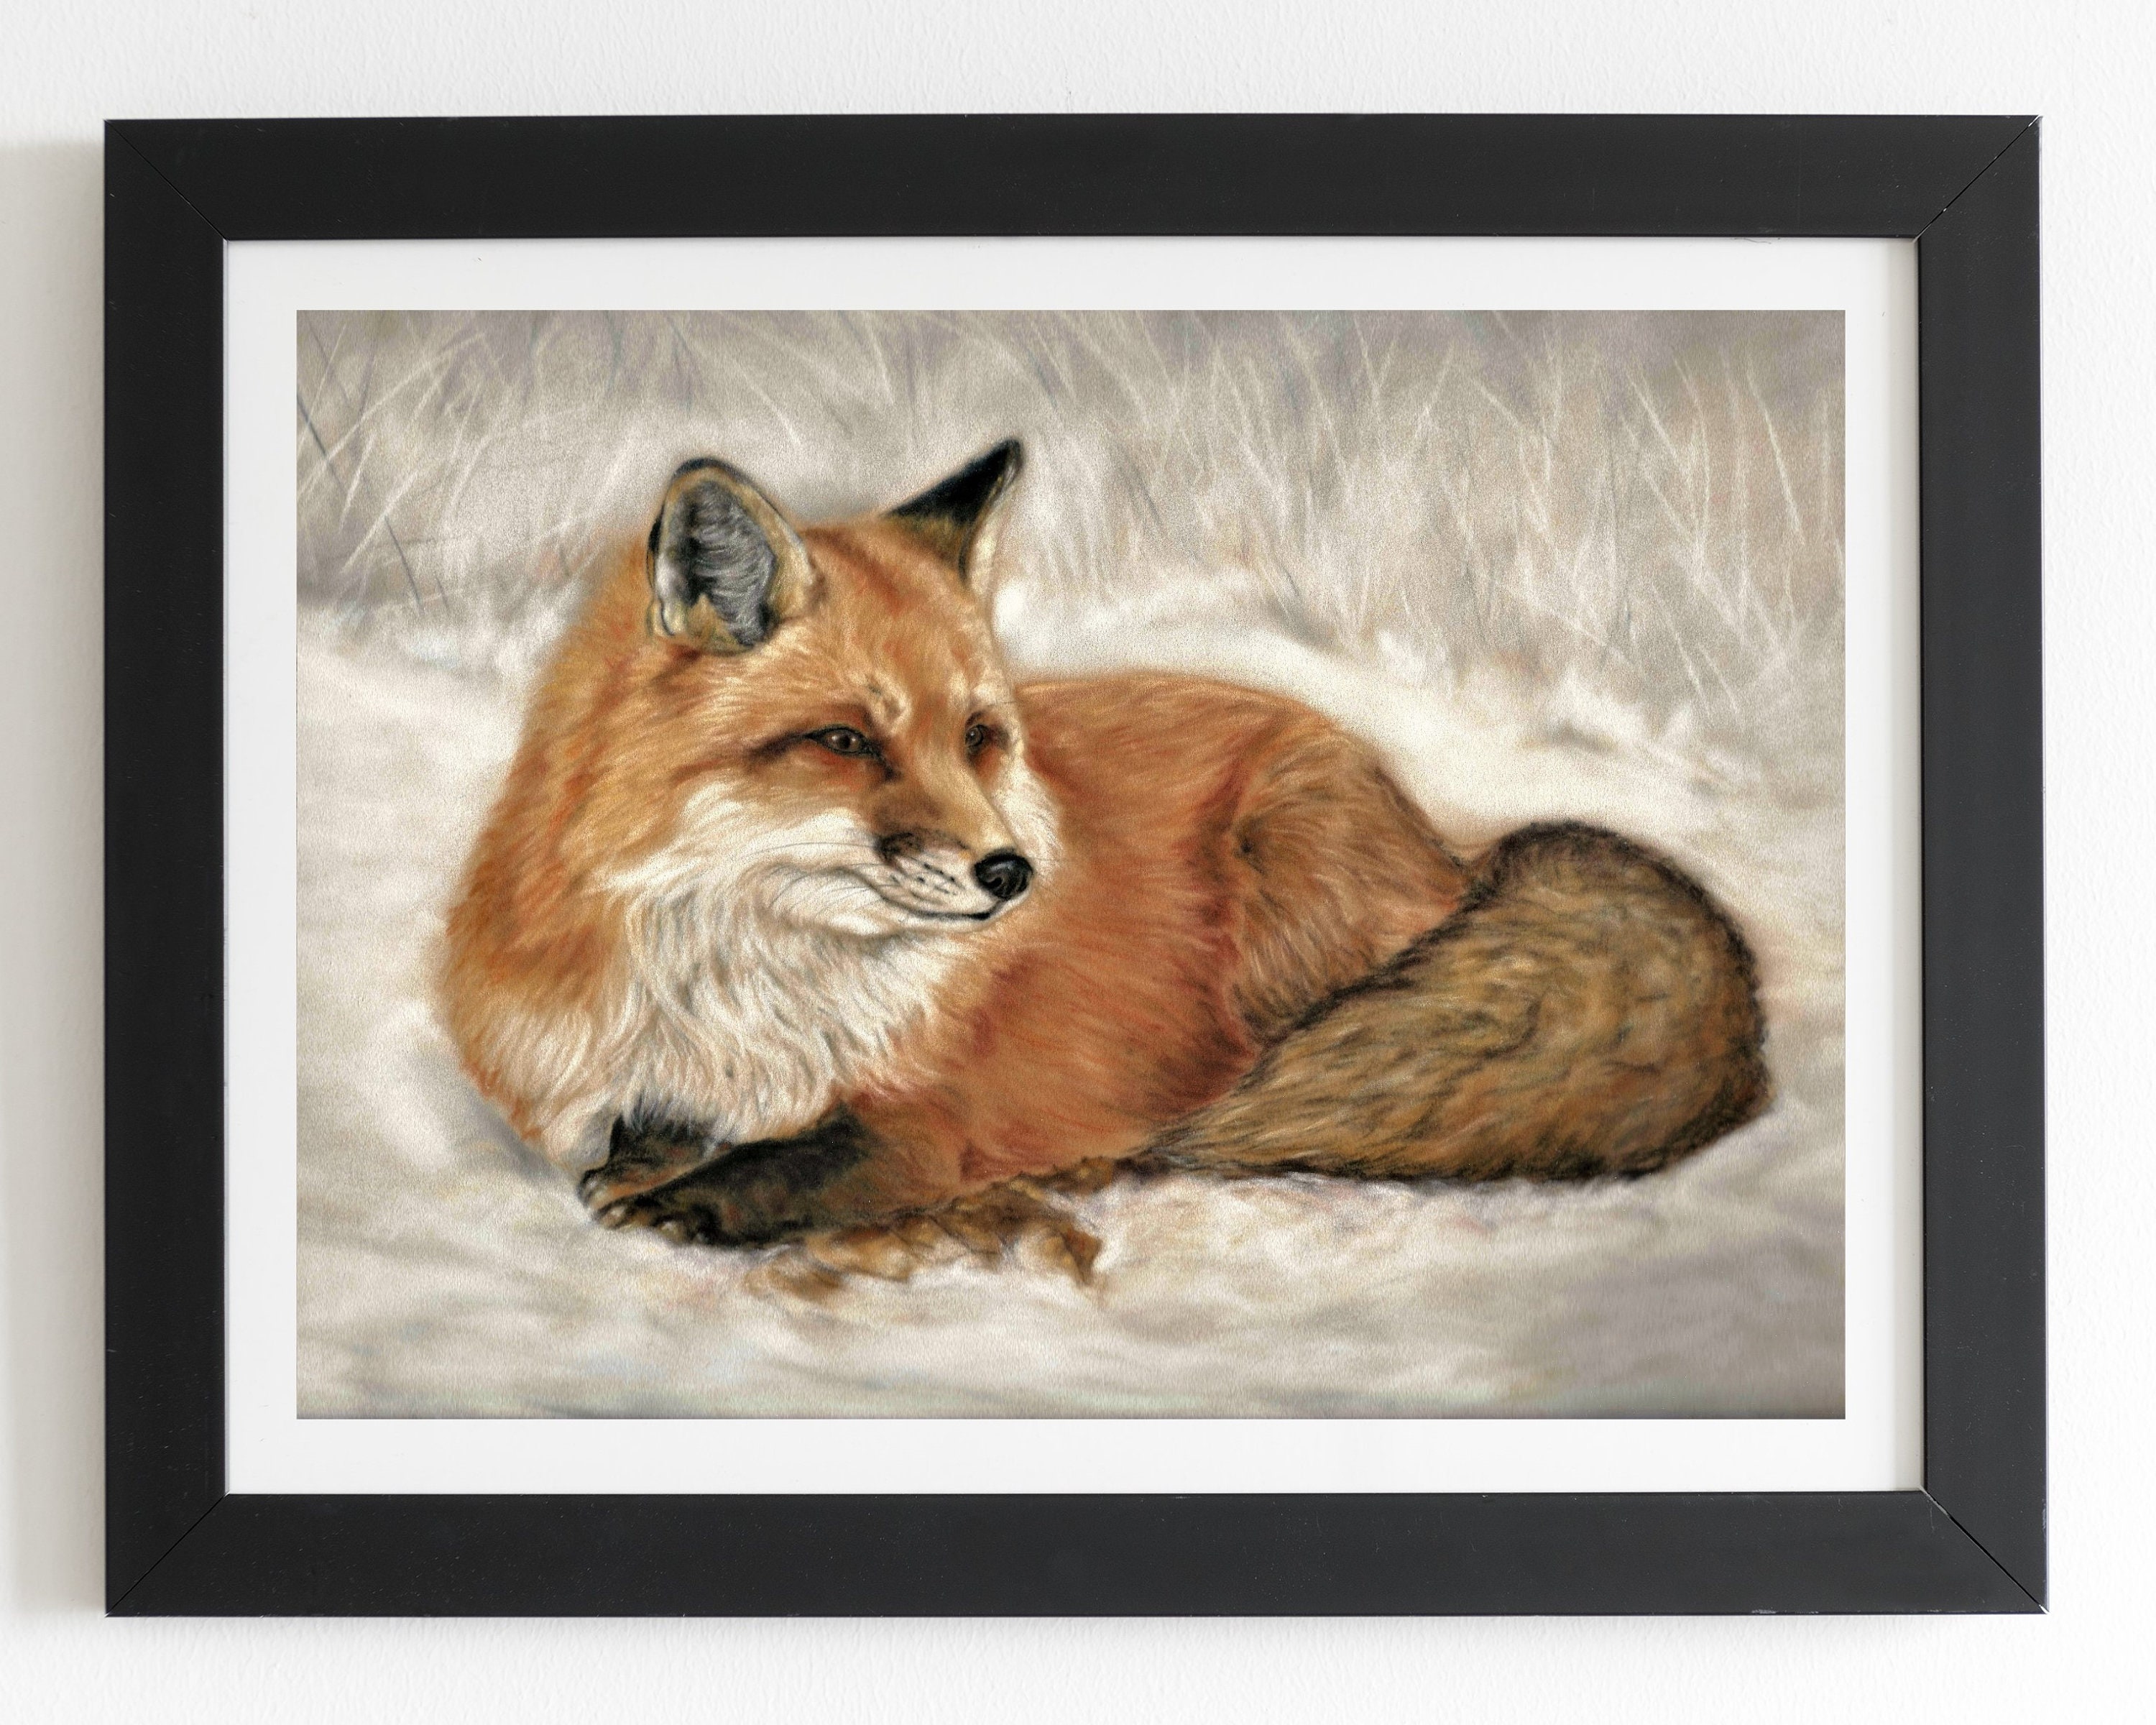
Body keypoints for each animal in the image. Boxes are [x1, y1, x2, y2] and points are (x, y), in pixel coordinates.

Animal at [440, 440, 1769, 1252]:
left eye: (978, 736)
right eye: (847, 741)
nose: (1012, 875)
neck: (743, 965)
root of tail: (1453, 850)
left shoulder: (946, 1117)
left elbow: (815, 1162)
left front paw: (695, 1198)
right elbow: (645, 1129)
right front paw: (654, 1160)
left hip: (1284, 885)